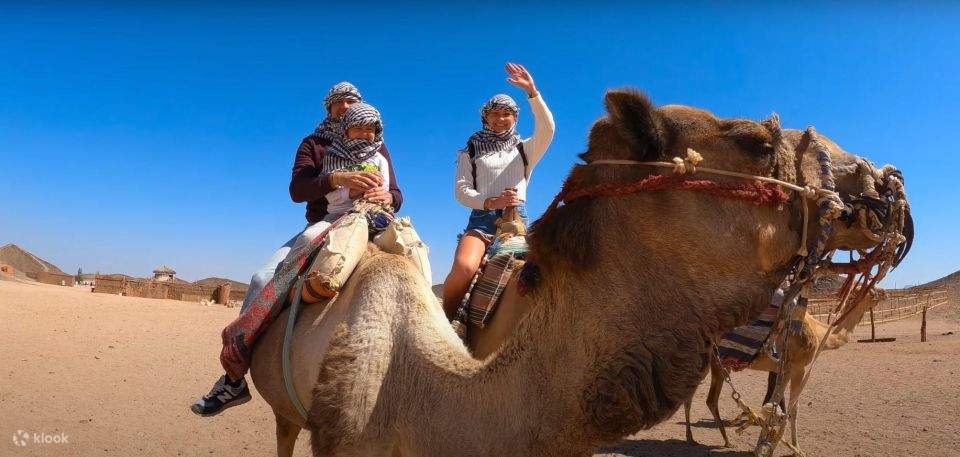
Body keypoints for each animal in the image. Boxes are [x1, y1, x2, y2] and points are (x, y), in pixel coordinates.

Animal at [682, 286, 885, 454]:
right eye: (873, 291)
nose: (885, 293)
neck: (820, 335)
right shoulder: (797, 369)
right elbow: (792, 408)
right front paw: (794, 447)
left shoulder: (784, 370)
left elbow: (778, 404)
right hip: (717, 362)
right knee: (710, 399)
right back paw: (726, 441)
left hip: (706, 361)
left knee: (691, 396)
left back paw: (692, 439)